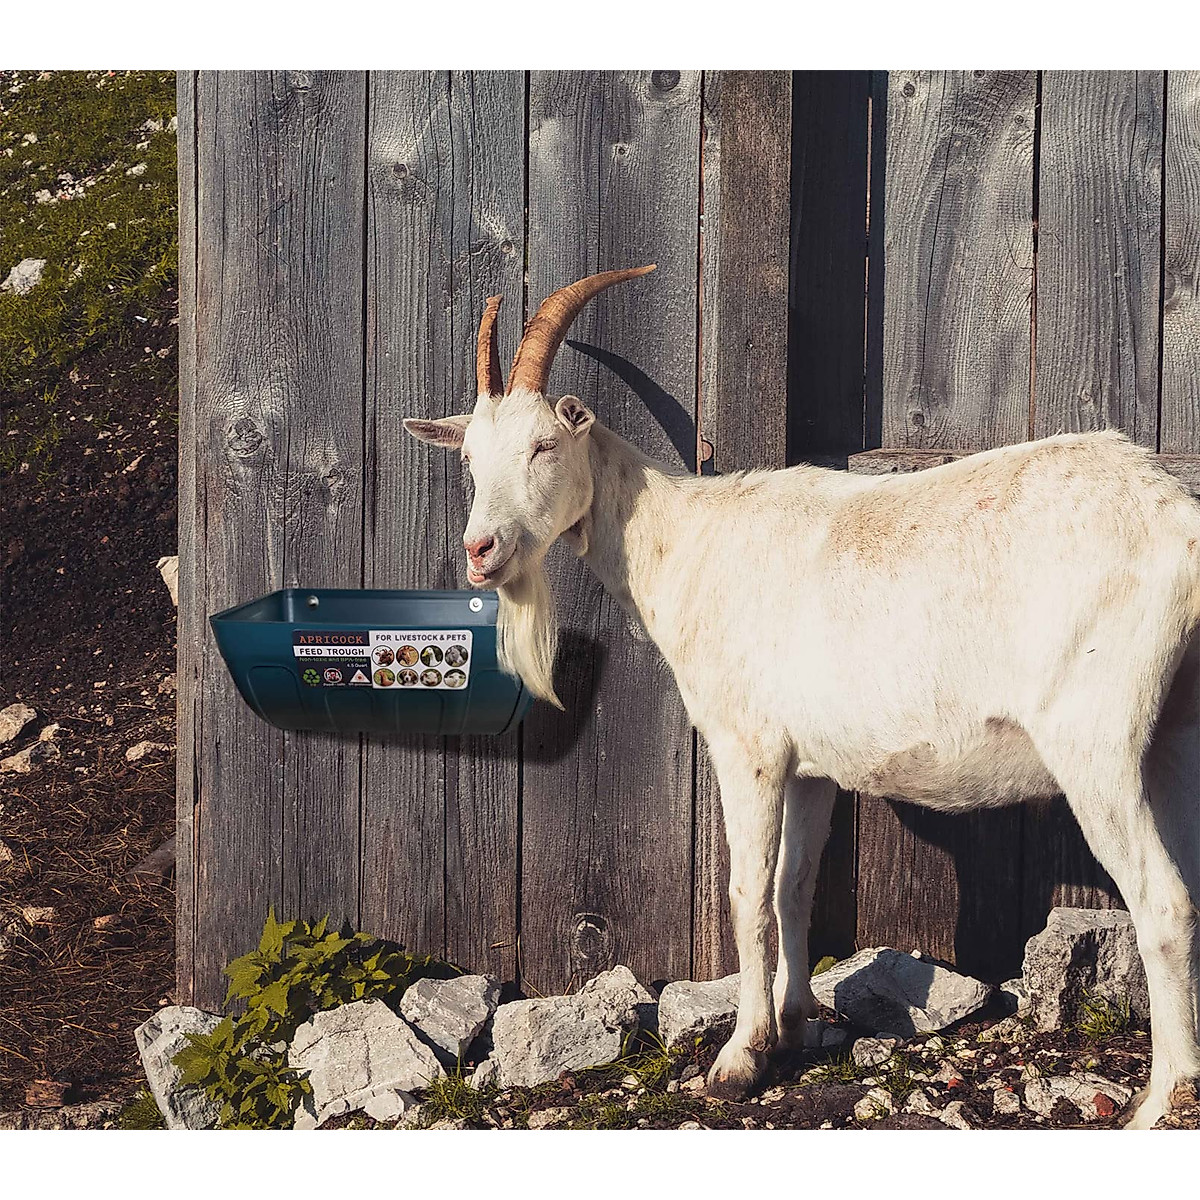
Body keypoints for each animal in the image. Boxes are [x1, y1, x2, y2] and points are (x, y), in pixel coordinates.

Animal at [404, 266, 1200, 1128]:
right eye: (471, 458)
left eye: (544, 445)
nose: (481, 550)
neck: (685, 542)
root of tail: (1180, 524)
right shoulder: (813, 767)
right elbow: (794, 889)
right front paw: (792, 1024)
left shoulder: (747, 744)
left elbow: (748, 891)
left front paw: (737, 1061)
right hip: (1176, 737)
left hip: (1096, 739)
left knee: (1161, 900)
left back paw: (1161, 1100)